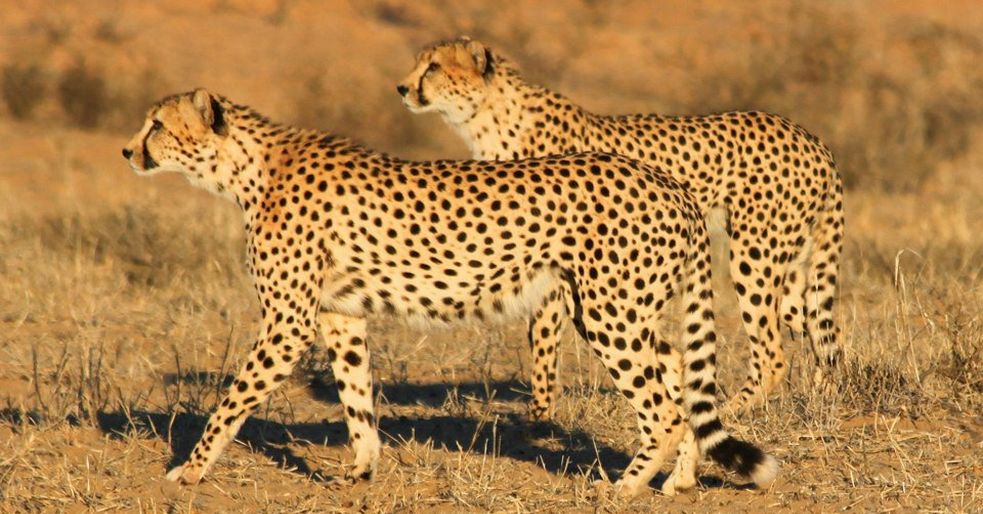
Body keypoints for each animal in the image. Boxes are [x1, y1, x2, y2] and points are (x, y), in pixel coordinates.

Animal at [120, 89, 778, 497]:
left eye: (158, 125)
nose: (127, 150)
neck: (247, 171)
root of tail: (670, 184)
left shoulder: (288, 323)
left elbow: (231, 402)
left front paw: (188, 471)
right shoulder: (340, 315)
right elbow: (356, 397)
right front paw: (362, 471)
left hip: (610, 312)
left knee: (664, 405)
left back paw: (627, 485)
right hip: (619, 309)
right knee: (679, 371)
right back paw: (679, 480)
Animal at [398, 36, 845, 415]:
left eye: (433, 67)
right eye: (418, 63)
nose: (402, 88)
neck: (487, 117)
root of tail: (813, 139)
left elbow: (541, 336)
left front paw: (540, 413)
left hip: (753, 255)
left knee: (773, 353)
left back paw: (731, 411)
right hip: (789, 262)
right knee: (822, 331)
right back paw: (825, 399)